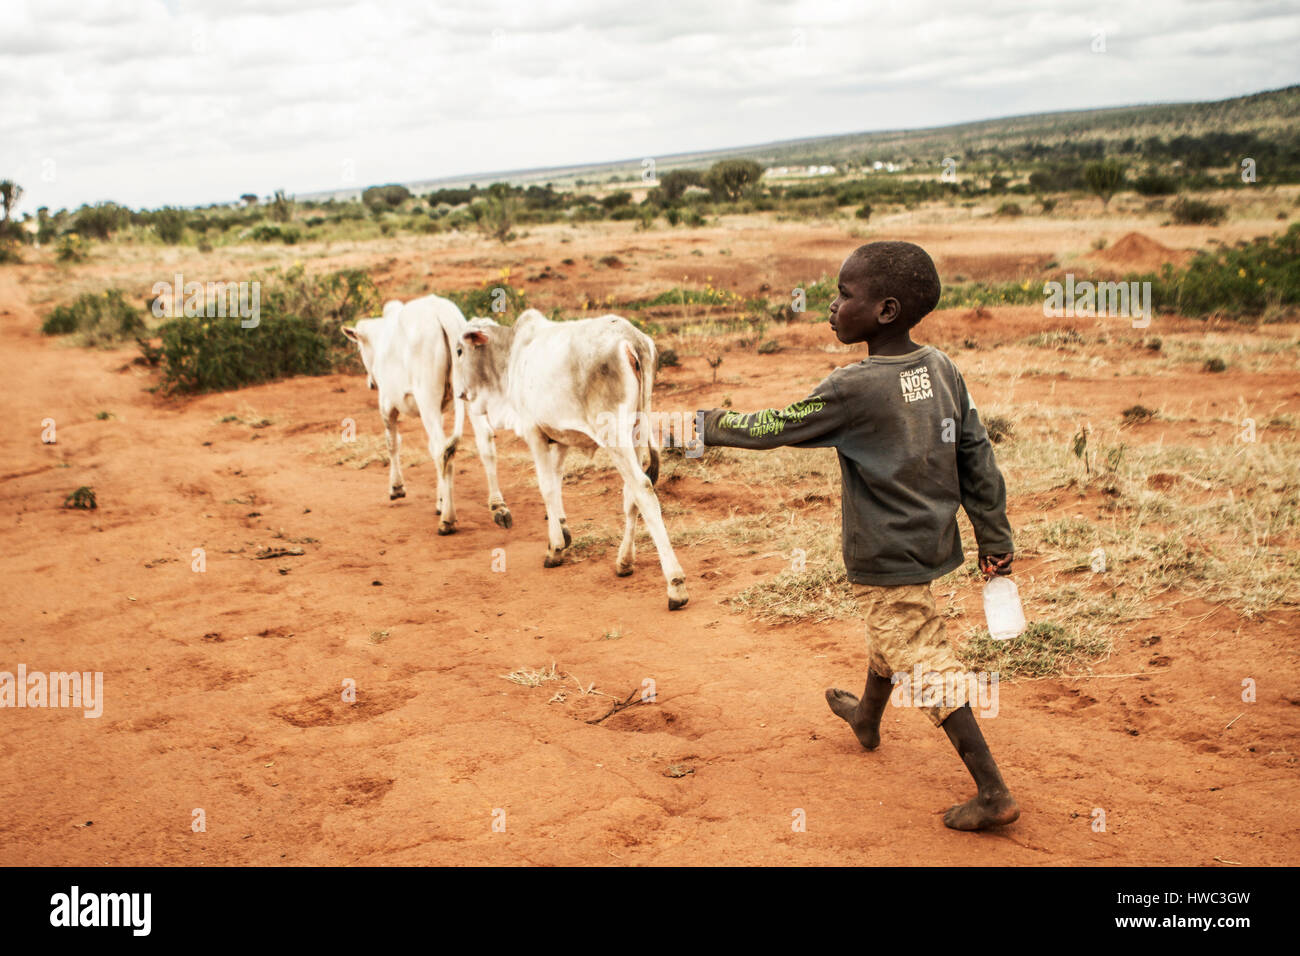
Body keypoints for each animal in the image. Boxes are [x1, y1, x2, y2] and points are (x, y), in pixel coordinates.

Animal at [342, 295, 512, 535]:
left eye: (359, 348)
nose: (370, 383)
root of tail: (442, 312)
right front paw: (440, 500)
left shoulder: (387, 403)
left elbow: (393, 442)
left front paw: (397, 488)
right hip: (469, 393)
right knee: (483, 439)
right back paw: (499, 508)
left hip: (426, 397)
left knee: (444, 449)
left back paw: (448, 520)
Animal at [454, 308, 688, 610]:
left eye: (459, 350)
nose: (460, 392)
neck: (511, 355)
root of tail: (631, 339)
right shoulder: (559, 438)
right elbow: (556, 484)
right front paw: (562, 535)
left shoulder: (533, 432)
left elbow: (546, 487)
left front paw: (555, 548)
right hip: (636, 431)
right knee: (631, 494)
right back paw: (624, 562)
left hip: (614, 434)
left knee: (643, 489)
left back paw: (675, 585)